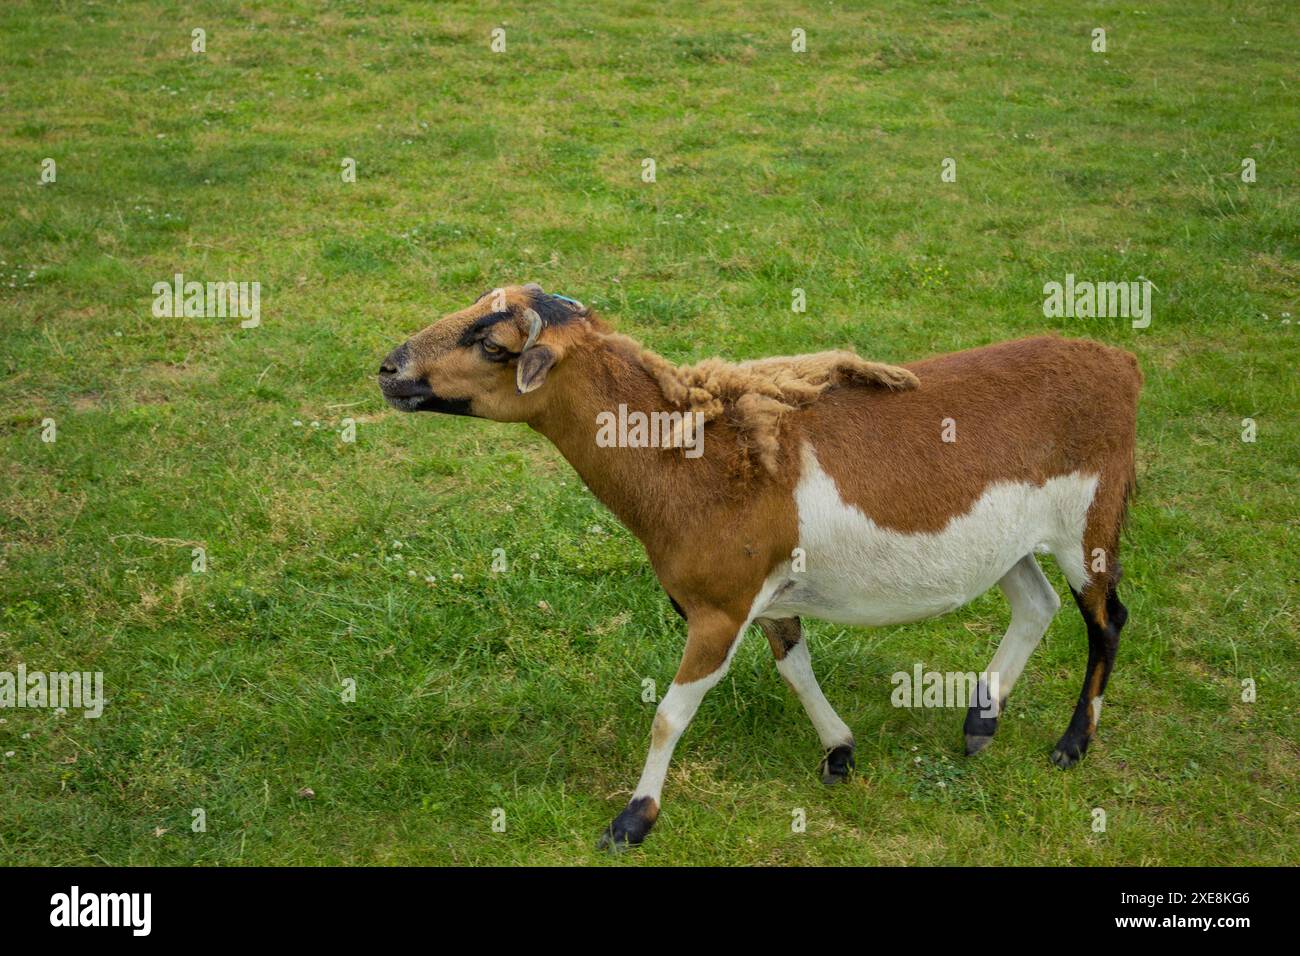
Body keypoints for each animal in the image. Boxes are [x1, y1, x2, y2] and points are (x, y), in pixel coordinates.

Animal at [378, 283, 1142, 850]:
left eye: (493, 344)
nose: (388, 369)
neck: (690, 456)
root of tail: (1121, 366)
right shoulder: (769, 597)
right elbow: (793, 667)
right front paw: (839, 752)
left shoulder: (721, 606)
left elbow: (670, 714)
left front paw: (632, 820)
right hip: (1006, 541)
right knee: (1036, 604)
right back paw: (980, 722)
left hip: (1088, 521)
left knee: (1106, 619)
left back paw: (1071, 745)